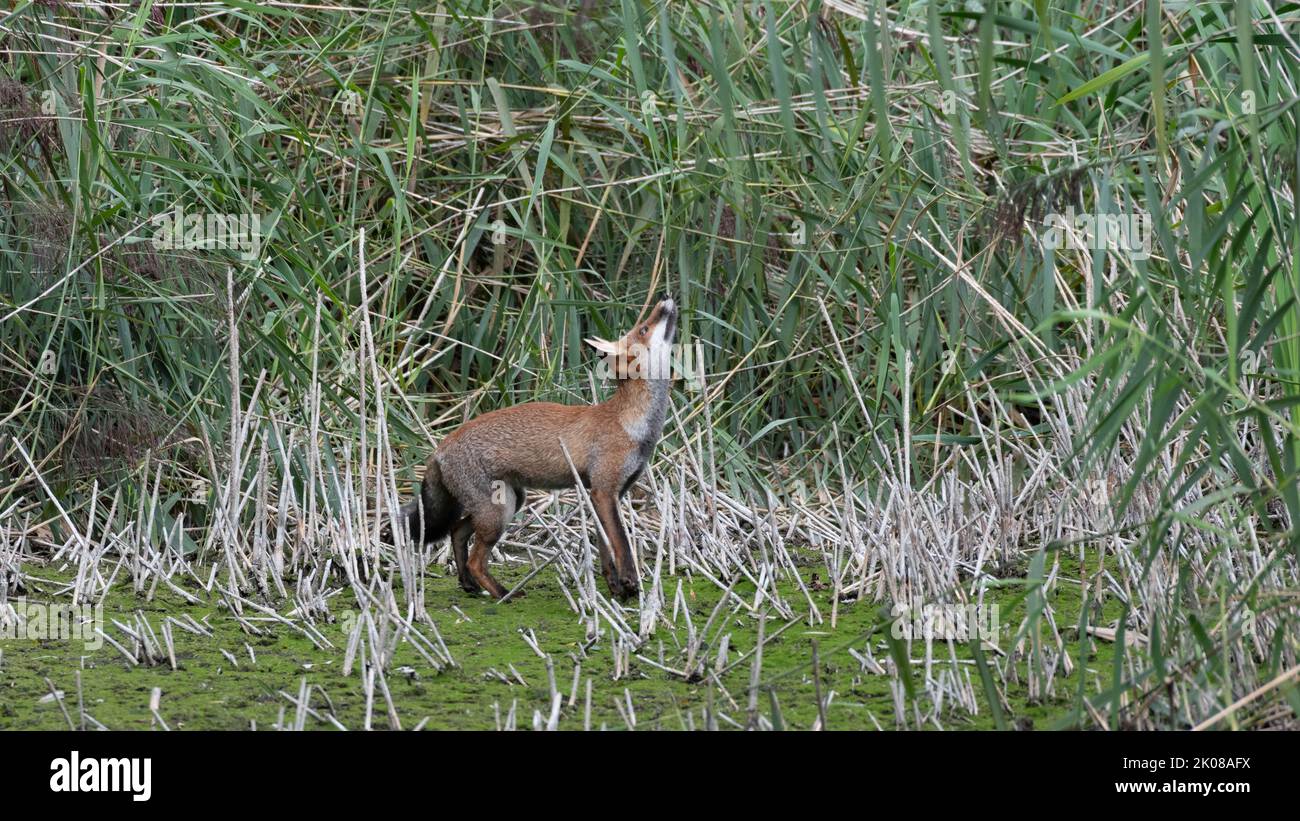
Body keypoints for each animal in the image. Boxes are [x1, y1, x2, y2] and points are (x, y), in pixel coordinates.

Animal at [383, 296, 679, 601]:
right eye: (644, 328)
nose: (666, 299)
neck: (631, 423)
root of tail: (440, 448)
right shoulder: (604, 491)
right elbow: (621, 543)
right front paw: (630, 584)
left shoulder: (608, 494)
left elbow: (606, 548)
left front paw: (614, 586)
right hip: (498, 512)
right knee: (475, 559)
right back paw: (504, 594)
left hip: (509, 502)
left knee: (457, 531)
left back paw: (468, 584)